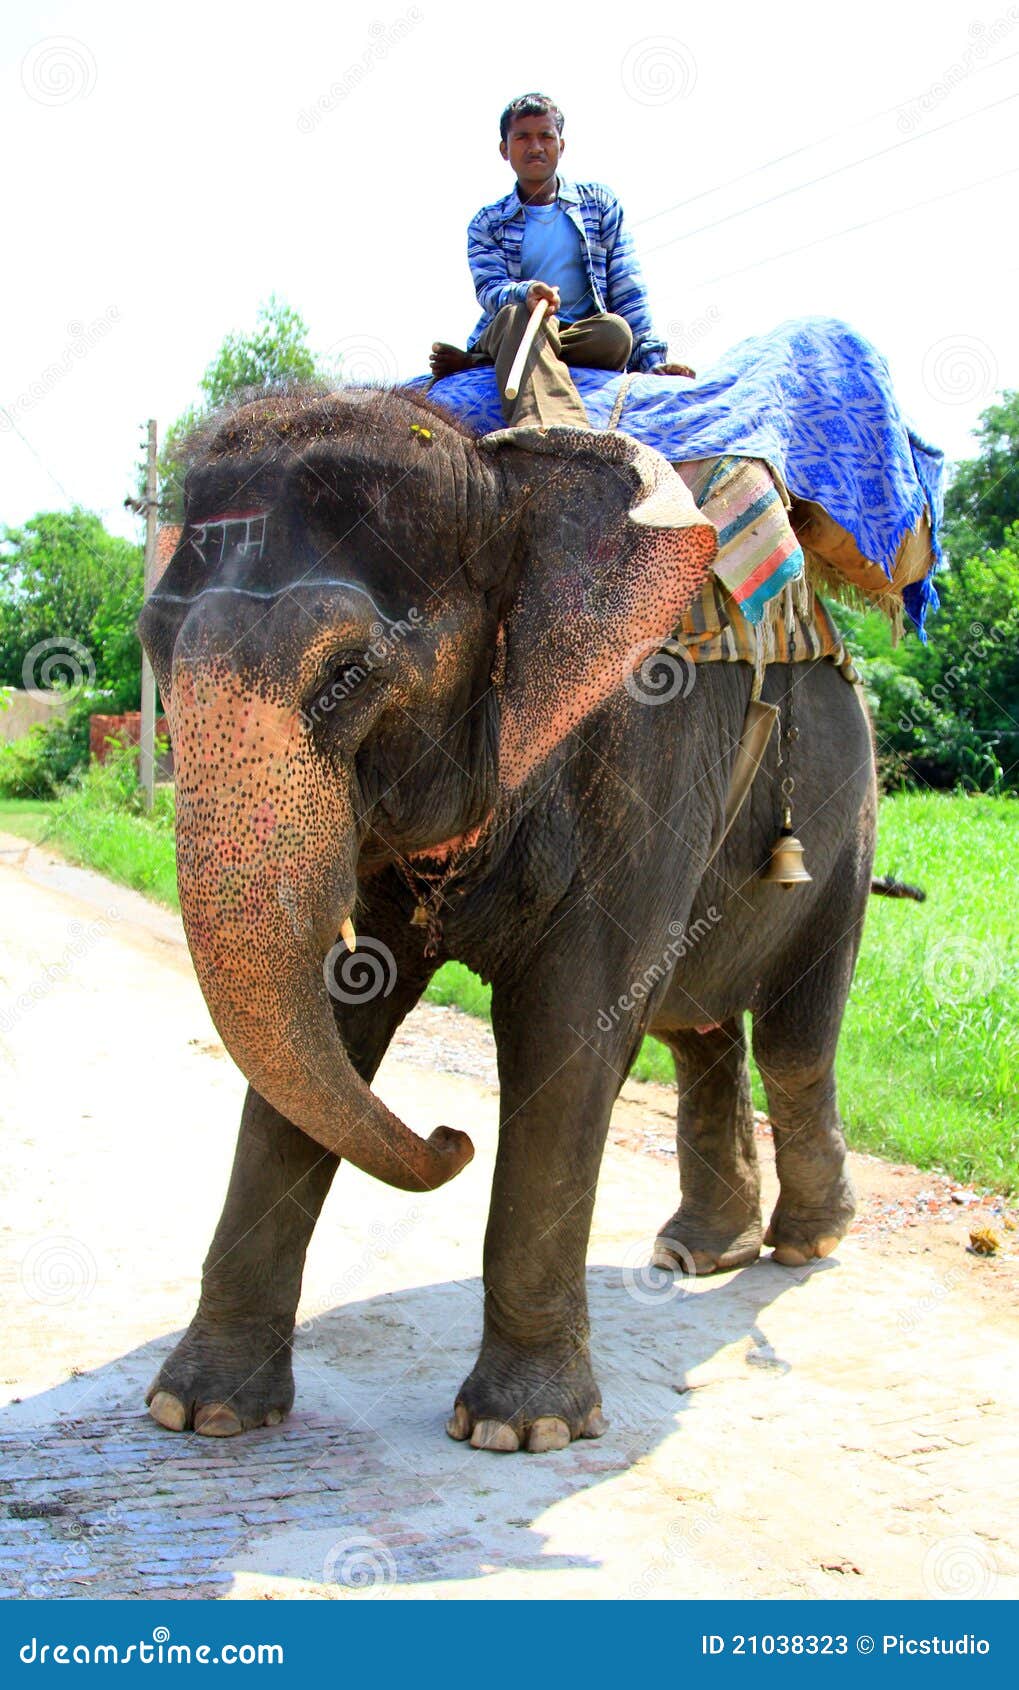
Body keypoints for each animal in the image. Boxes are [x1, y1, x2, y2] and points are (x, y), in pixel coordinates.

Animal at [138, 384, 874, 1453]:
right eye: (155, 653)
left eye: (347, 674)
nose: (451, 1136)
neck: (500, 476)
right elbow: (336, 1025)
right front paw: (200, 1414)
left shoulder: (641, 751)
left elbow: (566, 1029)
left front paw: (521, 1432)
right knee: (695, 1026)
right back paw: (701, 1255)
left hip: (845, 819)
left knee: (789, 1037)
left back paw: (805, 1244)